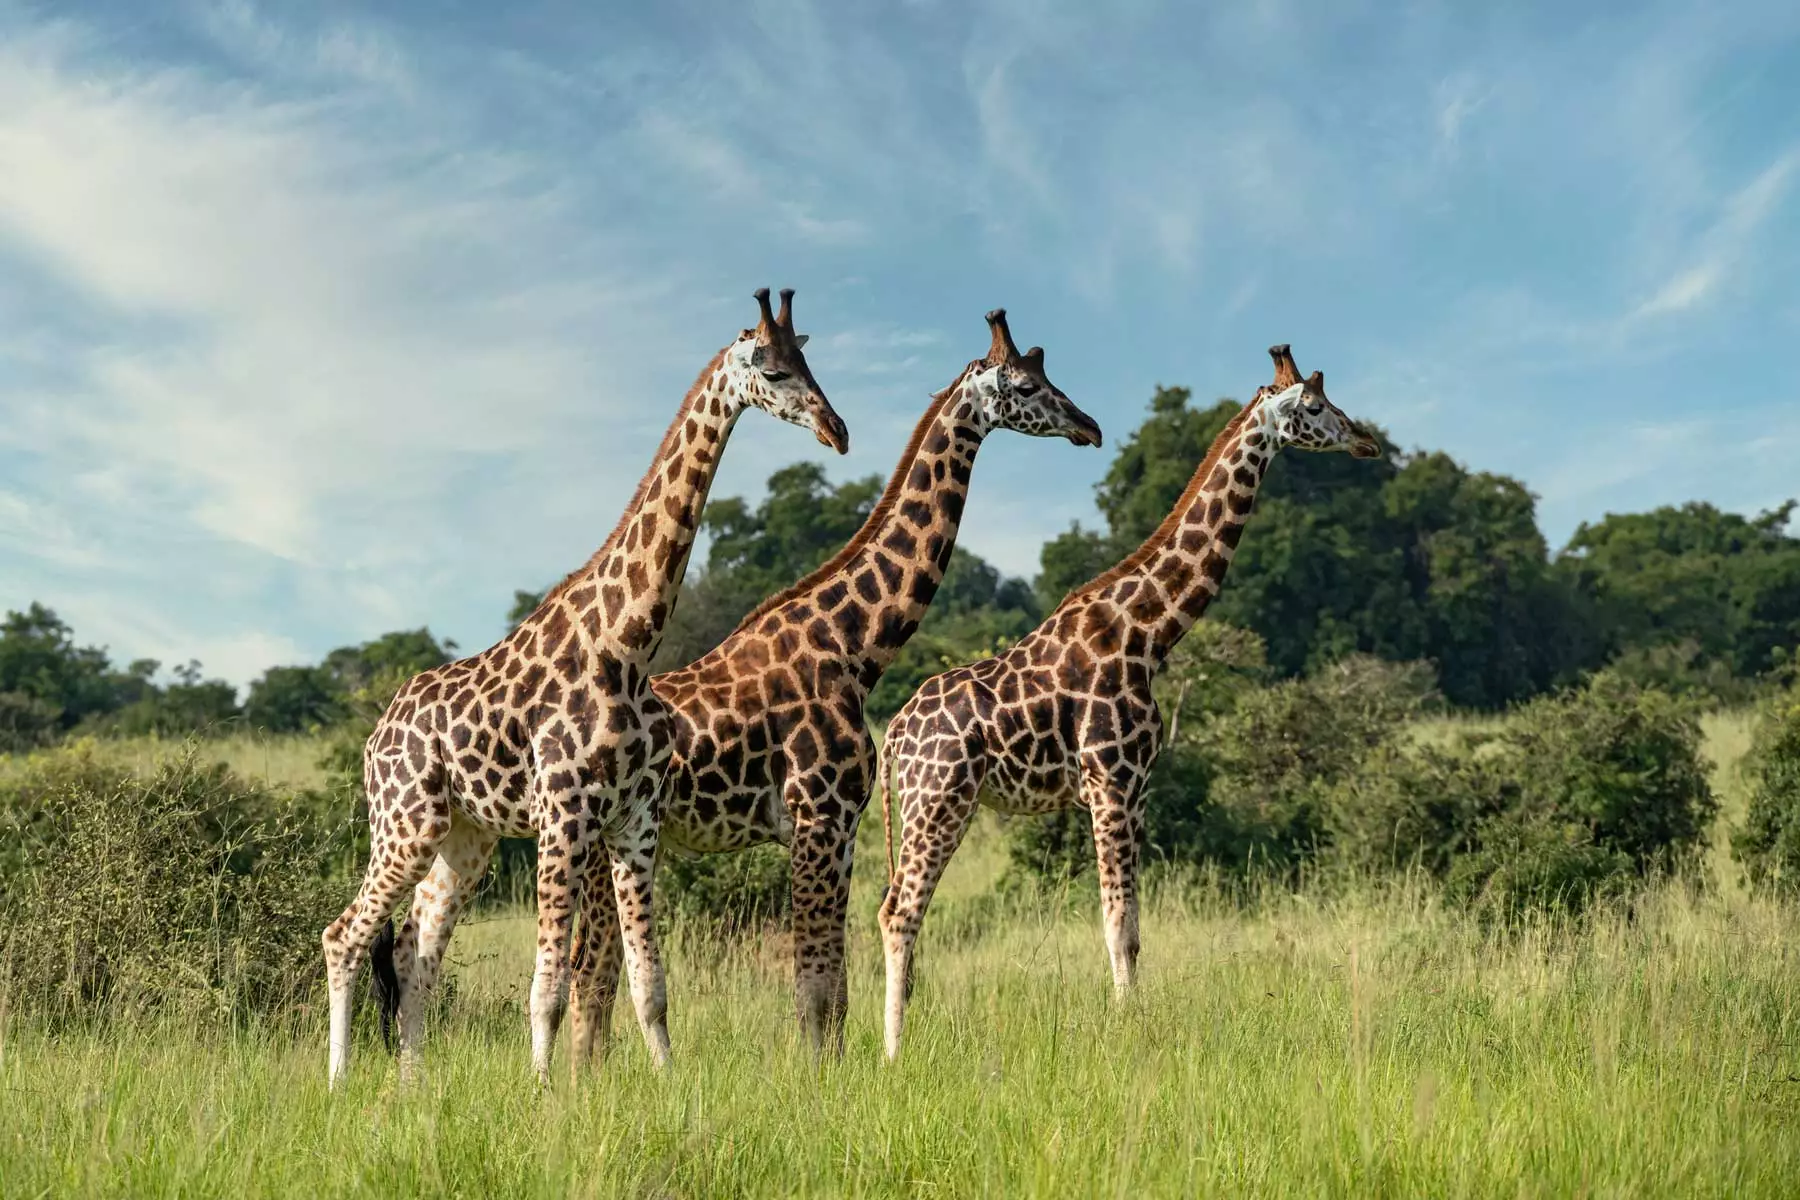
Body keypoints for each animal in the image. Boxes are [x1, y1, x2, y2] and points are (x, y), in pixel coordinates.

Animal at [318, 291, 849, 1086]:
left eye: (809, 363)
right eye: (774, 370)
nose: (836, 430)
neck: (627, 644)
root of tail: (375, 733)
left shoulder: (636, 821)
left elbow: (649, 984)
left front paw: (668, 1086)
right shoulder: (563, 814)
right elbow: (548, 987)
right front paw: (543, 1094)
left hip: (464, 837)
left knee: (414, 950)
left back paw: (412, 1087)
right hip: (404, 820)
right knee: (344, 935)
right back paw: (340, 1081)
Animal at [568, 313, 1101, 1057]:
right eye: (1027, 385)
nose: (1091, 426)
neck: (856, 646)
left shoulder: (842, 829)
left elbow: (837, 994)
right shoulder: (817, 819)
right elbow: (813, 993)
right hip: (600, 845)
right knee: (587, 982)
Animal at [878, 341, 1382, 1057]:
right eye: (1314, 406)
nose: (1366, 440)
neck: (1148, 631)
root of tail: (894, 735)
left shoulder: (1140, 787)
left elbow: (1137, 930)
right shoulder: (1110, 782)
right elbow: (1115, 926)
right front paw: (1125, 1038)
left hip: (938, 803)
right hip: (937, 798)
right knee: (899, 911)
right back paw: (893, 1056)